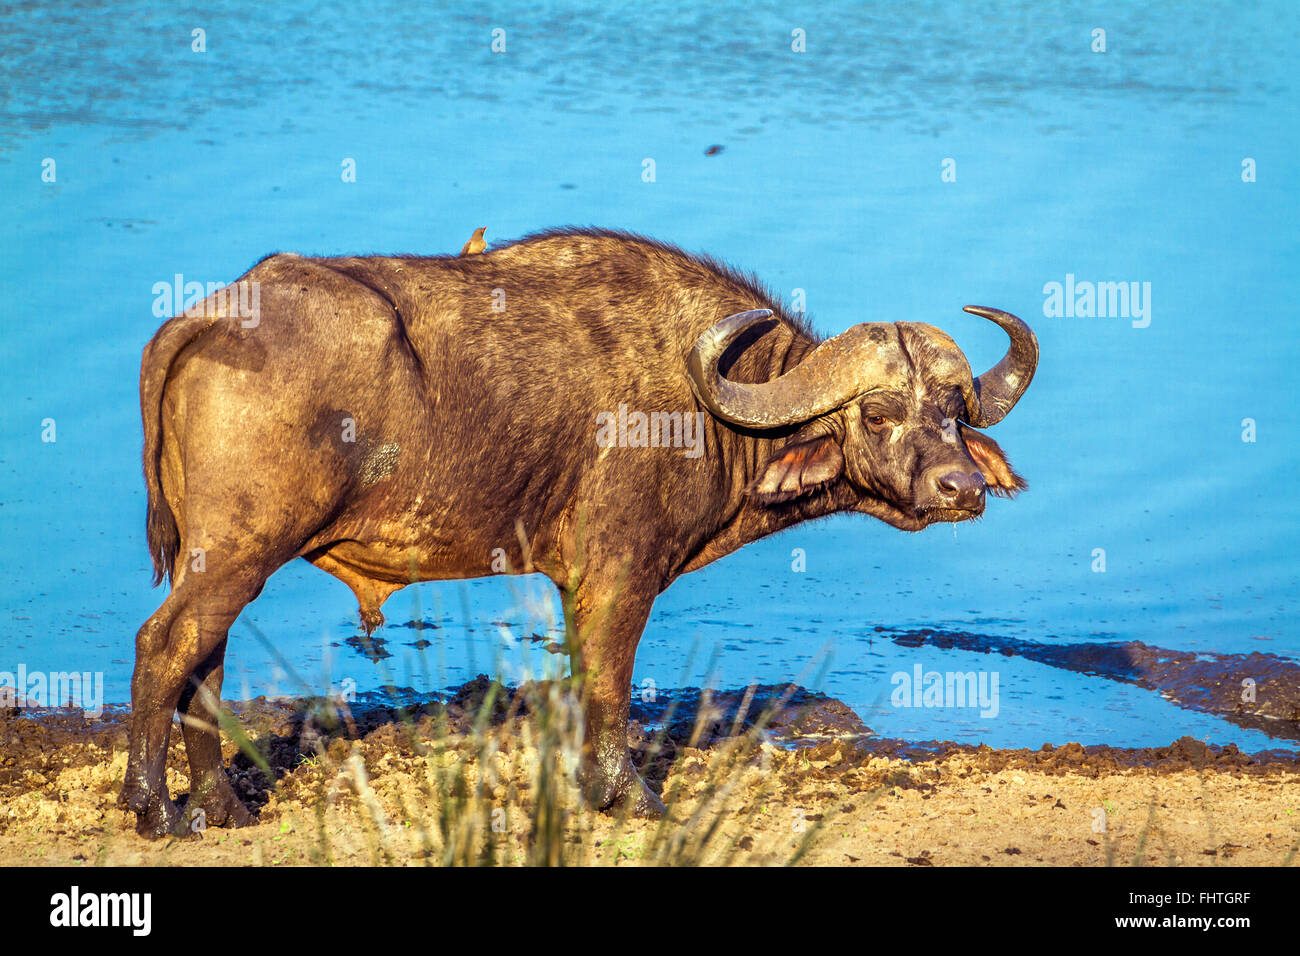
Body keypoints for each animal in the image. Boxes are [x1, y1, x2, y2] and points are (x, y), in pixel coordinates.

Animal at [122, 227, 1037, 836]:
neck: (710, 404)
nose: (960, 489)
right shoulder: (618, 575)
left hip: (218, 558)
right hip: (239, 553)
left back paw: (220, 806)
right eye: (878, 414)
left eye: (954, 412)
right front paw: (627, 796)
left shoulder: (574, 584)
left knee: (203, 662)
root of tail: (212, 315)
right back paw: (153, 805)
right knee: (163, 647)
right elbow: (610, 685)